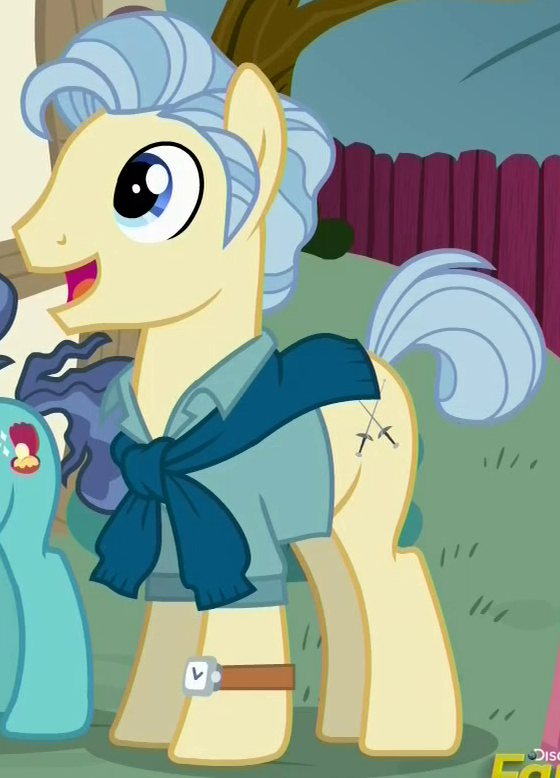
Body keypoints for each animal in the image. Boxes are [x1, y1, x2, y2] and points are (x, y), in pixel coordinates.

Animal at [12, 10, 545, 767]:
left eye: (144, 188)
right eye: (67, 159)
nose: (27, 234)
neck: (189, 427)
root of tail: (382, 359)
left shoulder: (241, 533)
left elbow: (238, 631)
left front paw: (220, 749)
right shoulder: (174, 535)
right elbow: (171, 621)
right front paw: (144, 736)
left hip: (366, 519)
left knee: (392, 581)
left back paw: (410, 737)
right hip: (322, 527)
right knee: (346, 601)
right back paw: (346, 731)